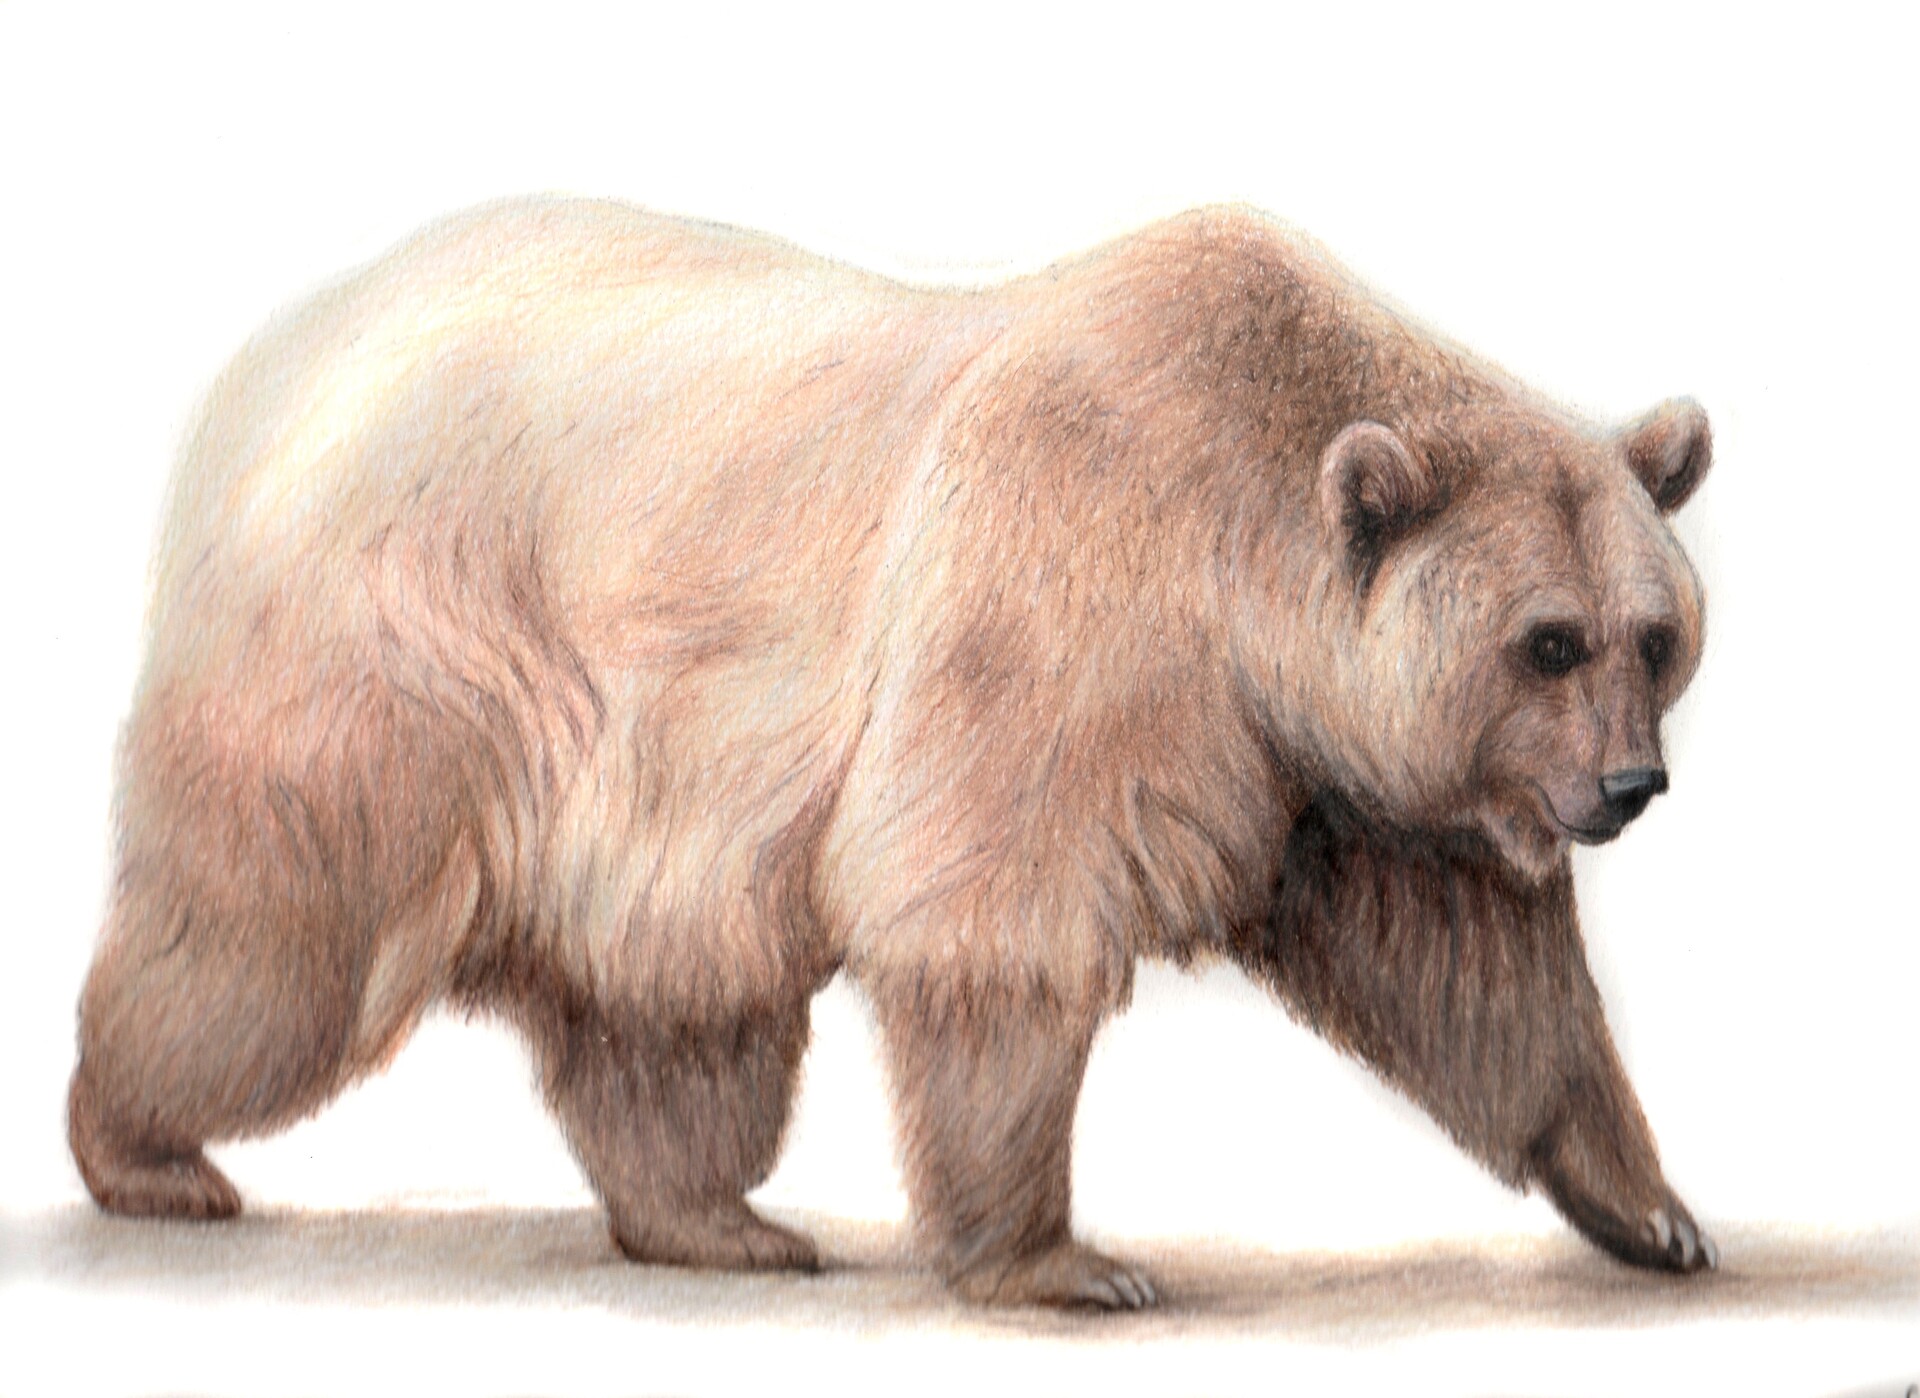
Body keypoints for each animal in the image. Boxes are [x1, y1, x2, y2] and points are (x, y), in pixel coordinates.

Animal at [68, 198, 1717, 1308]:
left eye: (1654, 633)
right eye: (1547, 640)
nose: (1631, 788)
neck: (1246, 581)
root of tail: (281, 359)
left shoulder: (1341, 784)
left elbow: (1477, 977)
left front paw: (1653, 1208)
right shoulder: (1071, 601)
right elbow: (993, 912)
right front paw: (1065, 1259)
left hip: (645, 800)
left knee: (676, 1014)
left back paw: (723, 1222)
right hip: (403, 662)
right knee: (276, 943)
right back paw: (144, 1152)